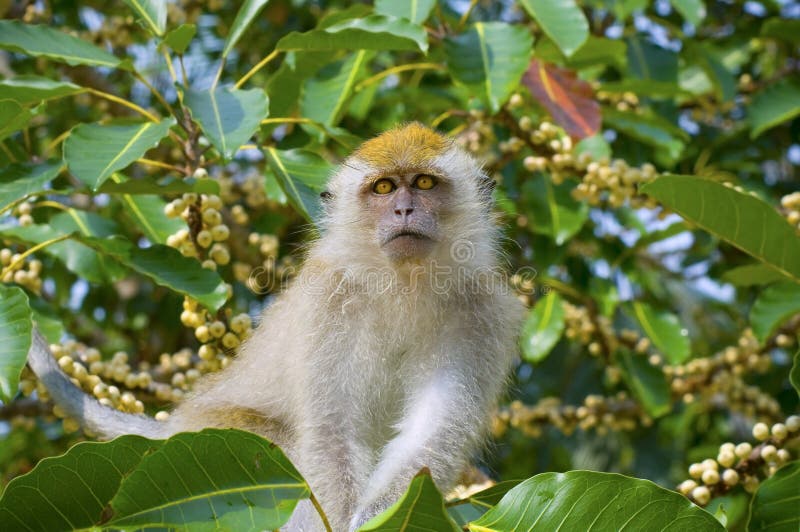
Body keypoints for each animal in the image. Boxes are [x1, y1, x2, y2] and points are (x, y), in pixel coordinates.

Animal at [27, 122, 525, 531]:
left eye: (423, 182)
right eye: (384, 188)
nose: (403, 210)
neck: (406, 284)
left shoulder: (482, 315)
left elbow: (430, 434)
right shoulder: (329, 299)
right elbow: (331, 432)